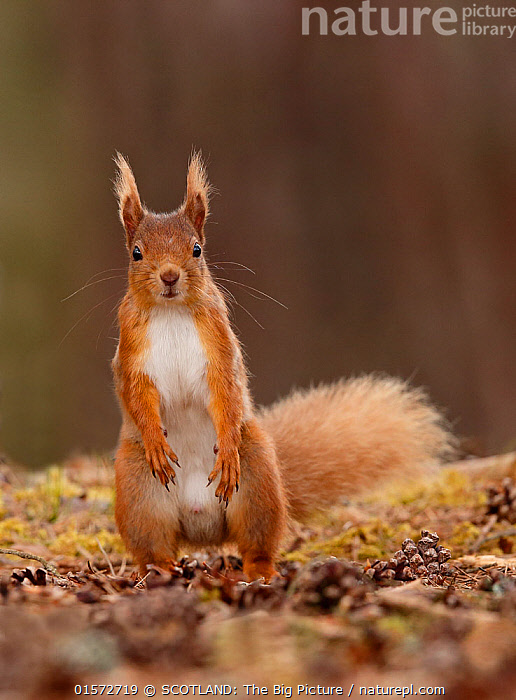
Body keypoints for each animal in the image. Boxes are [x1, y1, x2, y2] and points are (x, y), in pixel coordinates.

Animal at [112, 152, 454, 583]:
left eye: (197, 249)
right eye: (137, 253)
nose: (170, 276)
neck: (170, 312)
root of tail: (202, 528)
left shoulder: (220, 349)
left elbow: (226, 393)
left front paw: (226, 449)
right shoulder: (131, 357)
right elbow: (138, 398)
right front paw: (157, 442)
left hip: (258, 481)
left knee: (257, 543)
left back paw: (258, 571)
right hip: (139, 494)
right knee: (153, 546)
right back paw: (159, 569)